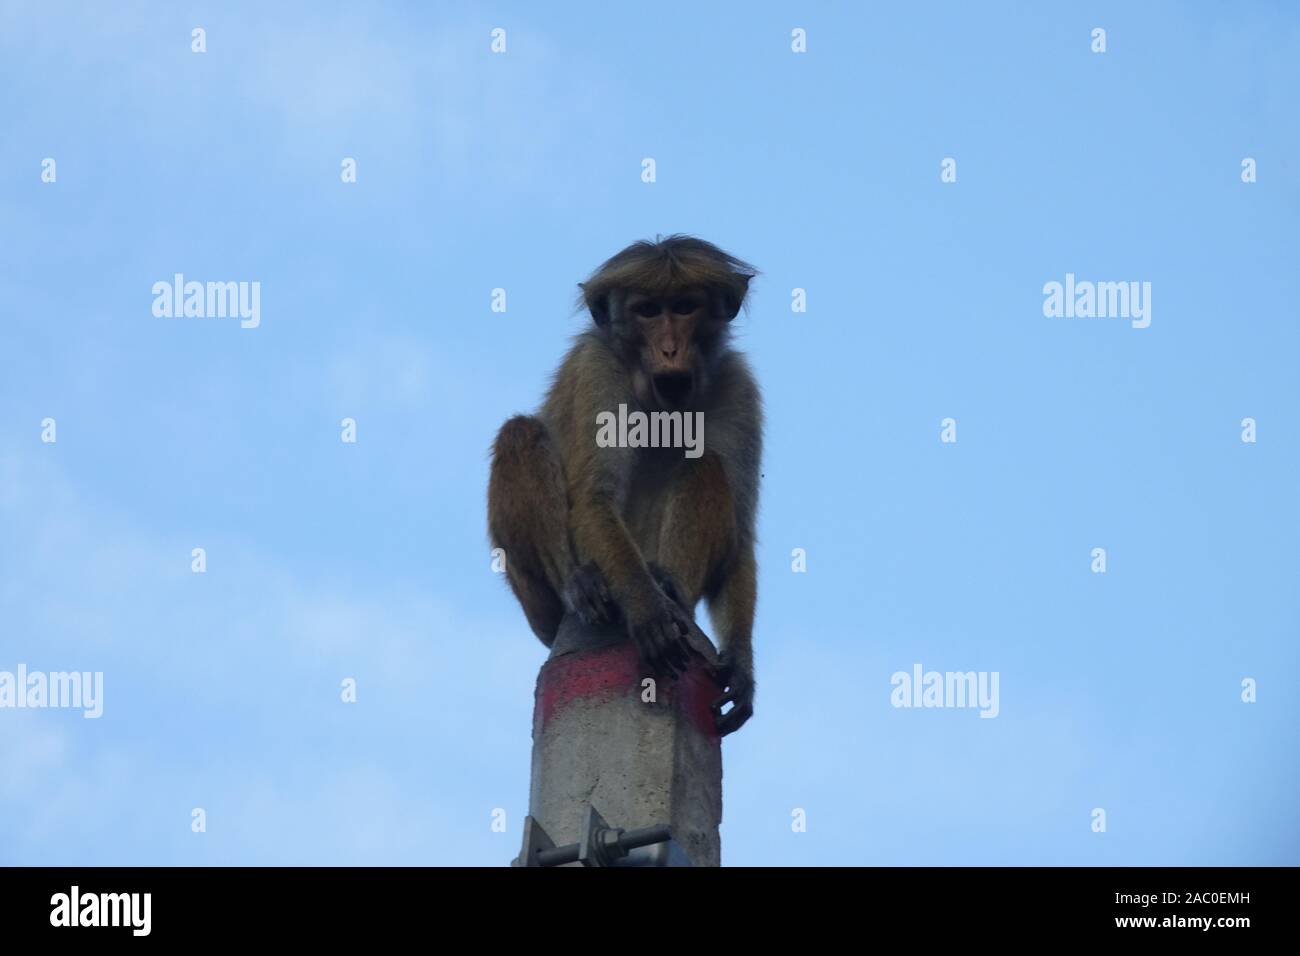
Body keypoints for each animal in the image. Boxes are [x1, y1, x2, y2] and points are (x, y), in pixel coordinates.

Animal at [488, 235, 762, 736]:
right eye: (648, 311)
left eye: (685, 307)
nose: (670, 350)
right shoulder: (599, 367)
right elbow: (595, 496)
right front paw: (644, 606)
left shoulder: (738, 384)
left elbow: (742, 535)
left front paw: (741, 665)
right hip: (535, 599)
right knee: (519, 432)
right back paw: (582, 584)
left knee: (705, 463)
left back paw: (669, 585)